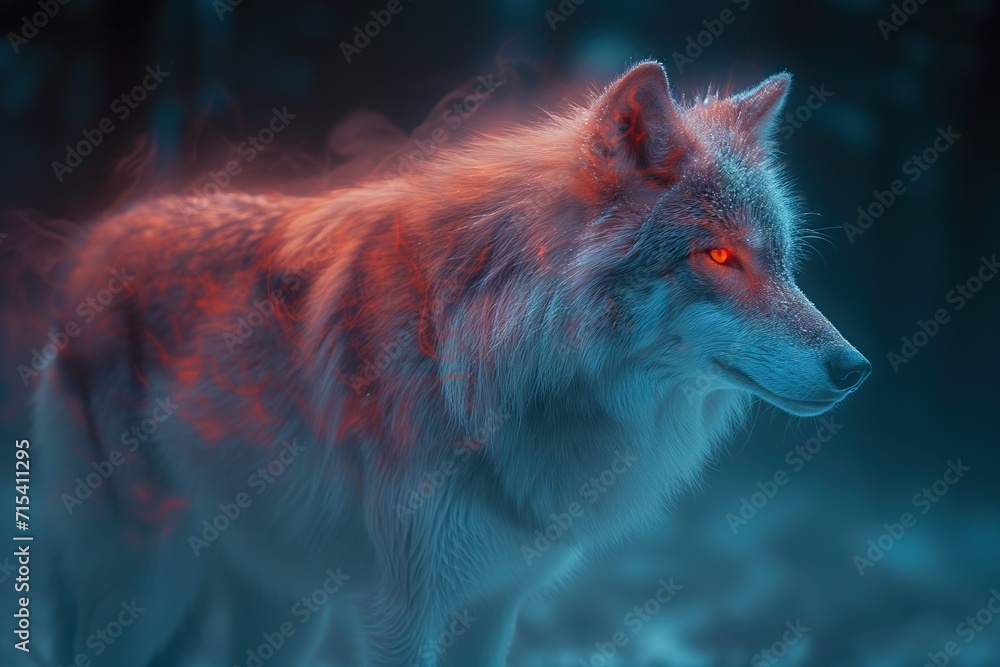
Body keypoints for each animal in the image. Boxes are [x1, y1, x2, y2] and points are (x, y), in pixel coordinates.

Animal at [33, 60, 870, 666]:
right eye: (720, 256)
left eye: (781, 260)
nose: (854, 367)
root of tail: (94, 244)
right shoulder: (398, 610)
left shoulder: (491, 604)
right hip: (141, 592)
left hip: (281, 609)